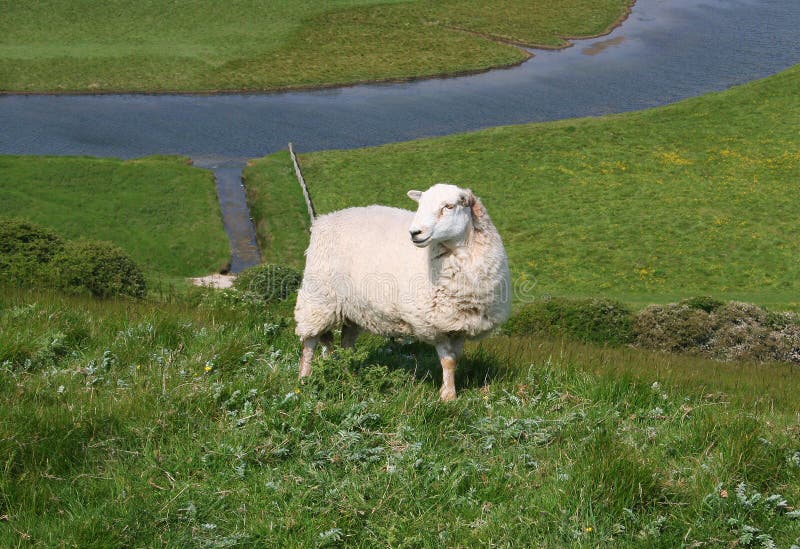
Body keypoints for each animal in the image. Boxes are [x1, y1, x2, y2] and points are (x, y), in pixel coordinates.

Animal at [294, 183, 510, 401]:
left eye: (449, 206)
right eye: (420, 205)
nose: (415, 232)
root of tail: (324, 219)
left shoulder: (459, 322)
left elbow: (455, 359)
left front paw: (447, 391)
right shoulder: (434, 323)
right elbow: (448, 360)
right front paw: (448, 397)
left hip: (354, 307)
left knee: (347, 342)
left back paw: (350, 376)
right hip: (319, 297)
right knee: (309, 342)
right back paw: (304, 380)